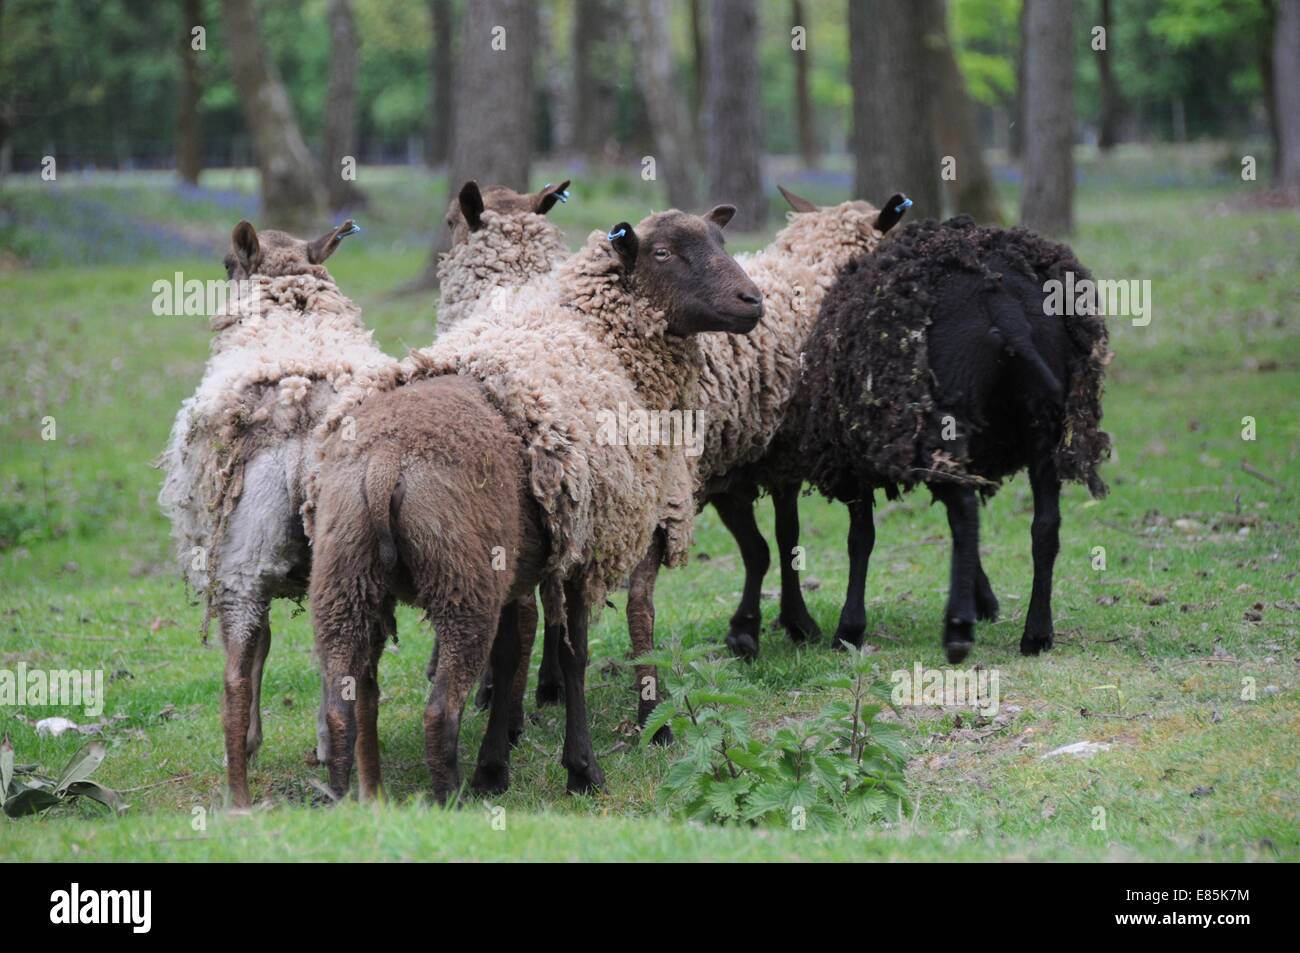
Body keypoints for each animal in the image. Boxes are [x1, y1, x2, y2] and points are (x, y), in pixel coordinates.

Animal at [308, 207, 763, 803]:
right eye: (663, 253)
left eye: (720, 239)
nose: (753, 300)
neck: (603, 341)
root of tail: (386, 463)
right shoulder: (584, 548)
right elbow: (574, 654)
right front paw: (582, 769)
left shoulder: (525, 561)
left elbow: (512, 653)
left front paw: (496, 764)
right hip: (463, 582)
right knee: (440, 709)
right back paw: (449, 800)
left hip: (344, 577)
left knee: (340, 704)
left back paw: (346, 801)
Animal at [796, 214, 1111, 663]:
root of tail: (1003, 306)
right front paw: (987, 601)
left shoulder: (853, 461)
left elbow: (861, 539)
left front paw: (849, 629)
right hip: (1038, 424)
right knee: (1043, 525)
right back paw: (1036, 634)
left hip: (944, 416)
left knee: (964, 511)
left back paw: (958, 630)